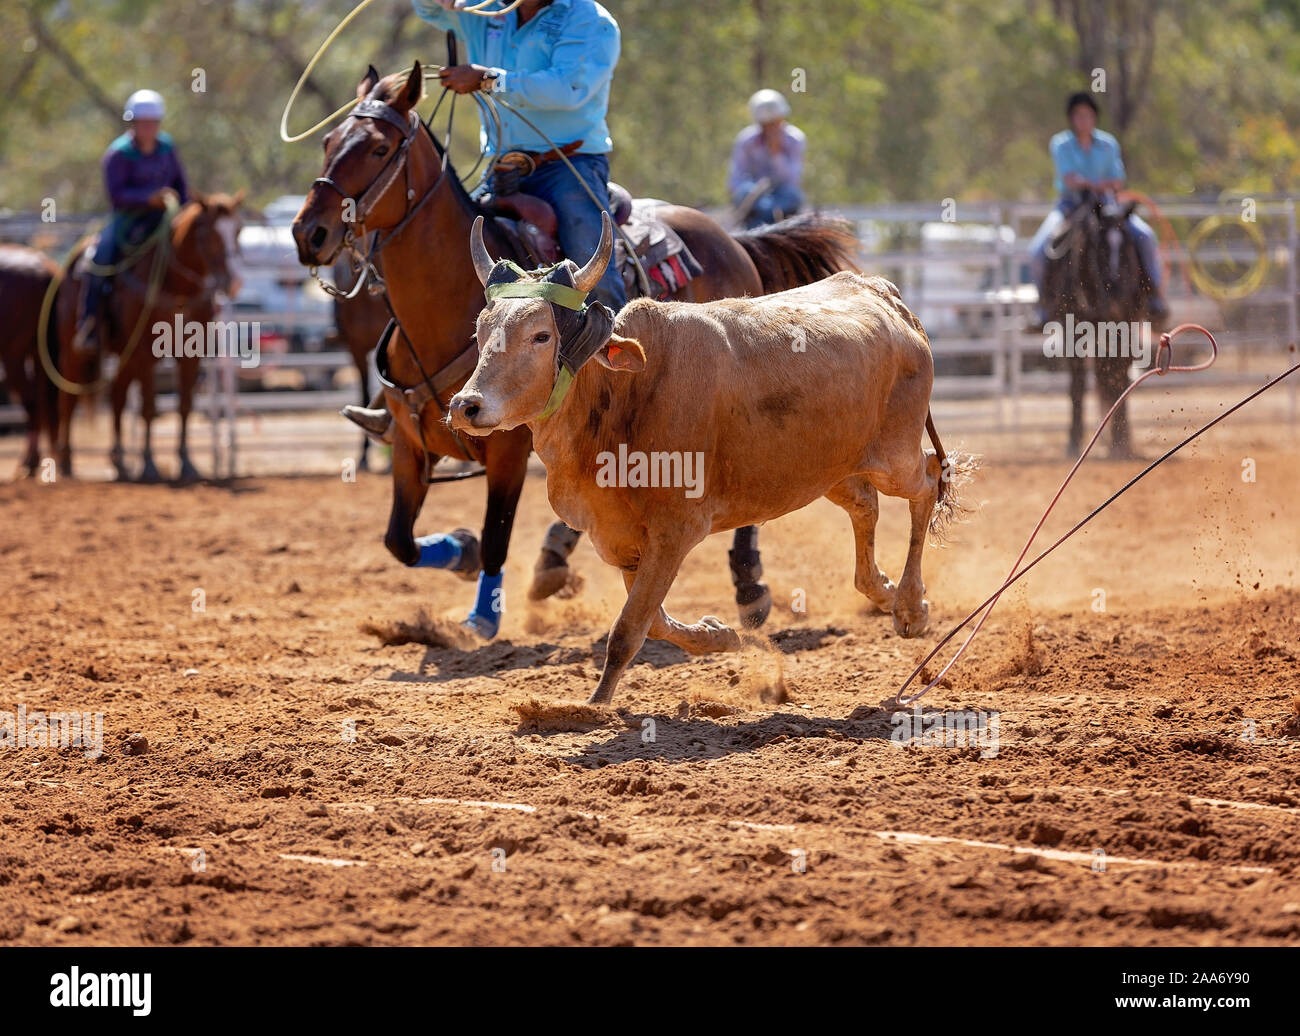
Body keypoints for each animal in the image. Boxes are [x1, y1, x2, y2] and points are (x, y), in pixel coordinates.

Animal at [448, 212, 974, 705]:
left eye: (541, 335)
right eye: (479, 331)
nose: (465, 405)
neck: (626, 394)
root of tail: (882, 292)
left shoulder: (675, 530)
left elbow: (628, 629)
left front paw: (594, 708)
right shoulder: (622, 535)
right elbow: (654, 621)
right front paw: (718, 636)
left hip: (894, 456)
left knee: (928, 480)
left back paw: (911, 606)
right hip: (832, 472)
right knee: (865, 508)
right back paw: (885, 591)